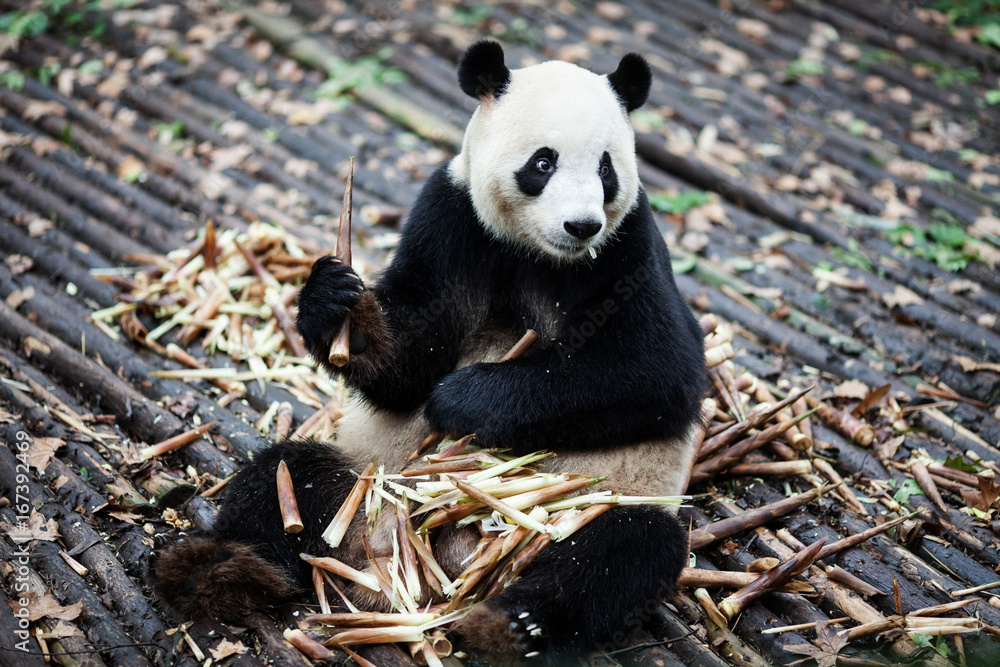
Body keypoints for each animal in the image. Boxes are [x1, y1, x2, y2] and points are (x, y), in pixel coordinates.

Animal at [153, 40, 706, 664]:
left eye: (607, 169)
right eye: (544, 163)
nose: (582, 224)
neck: (539, 253)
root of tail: (418, 571)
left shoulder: (627, 248)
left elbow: (658, 371)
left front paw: (465, 401)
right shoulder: (454, 217)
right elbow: (411, 355)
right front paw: (337, 308)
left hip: (575, 511)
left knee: (620, 551)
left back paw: (512, 625)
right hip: (366, 487)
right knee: (284, 476)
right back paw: (219, 571)